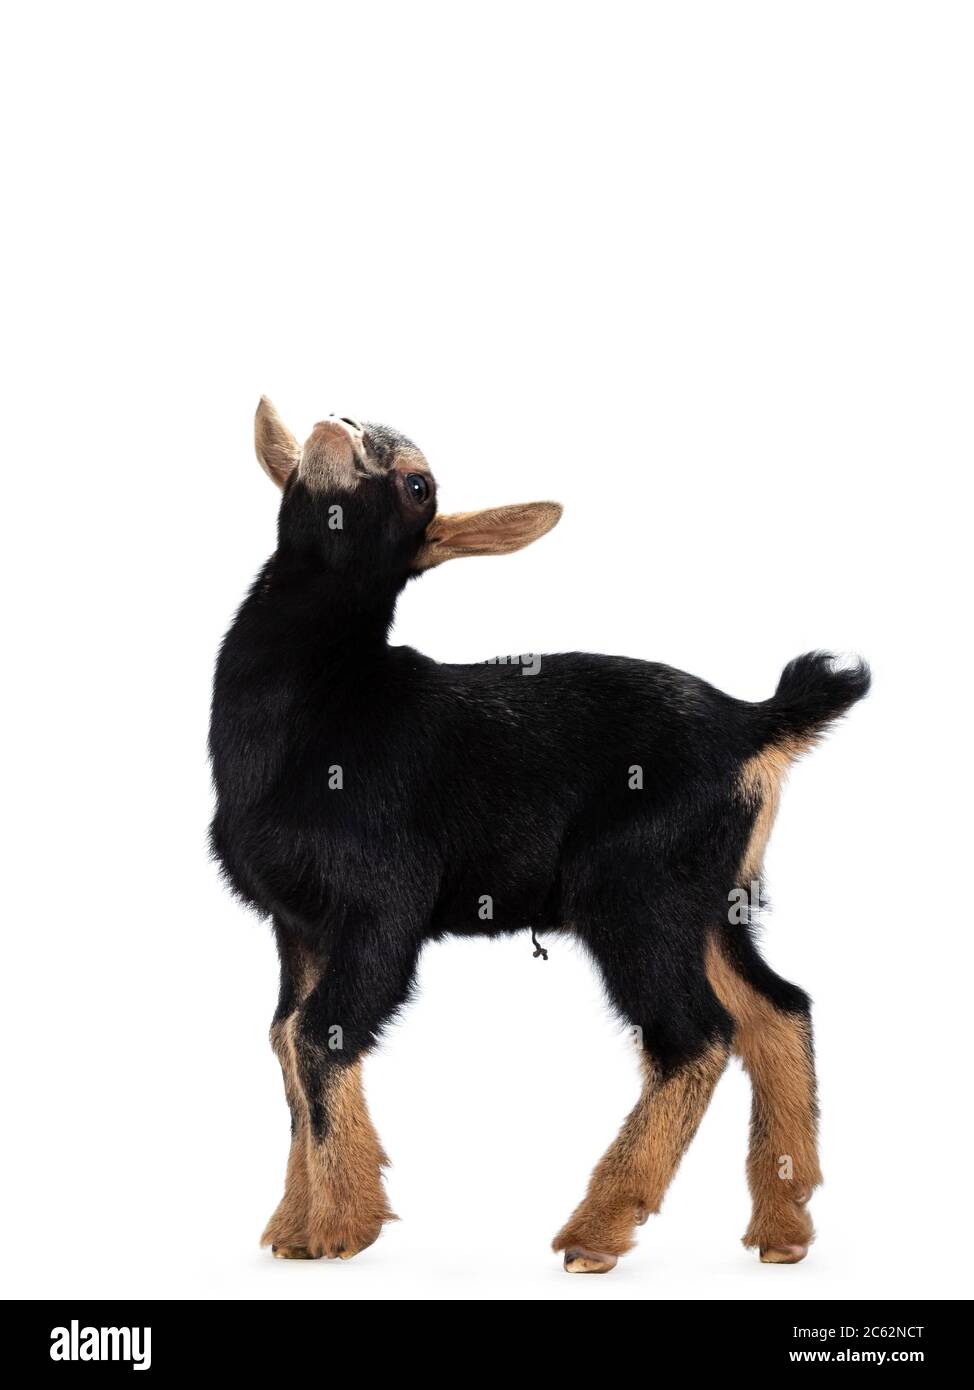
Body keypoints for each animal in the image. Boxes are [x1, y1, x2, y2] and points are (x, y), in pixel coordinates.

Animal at [209, 400, 869, 1272]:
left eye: (418, 486)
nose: (340, 423)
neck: (329, 704)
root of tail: (756, 722)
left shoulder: (381, 904)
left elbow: (321, 1033)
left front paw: (345, 1225)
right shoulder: (298, 923)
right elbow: (285, 1039)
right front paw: (294, 1227)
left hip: (633, 888)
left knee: (694, 1035)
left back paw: (597, 1228)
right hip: (708, 897)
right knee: (777, 1008)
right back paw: (784, 1225)